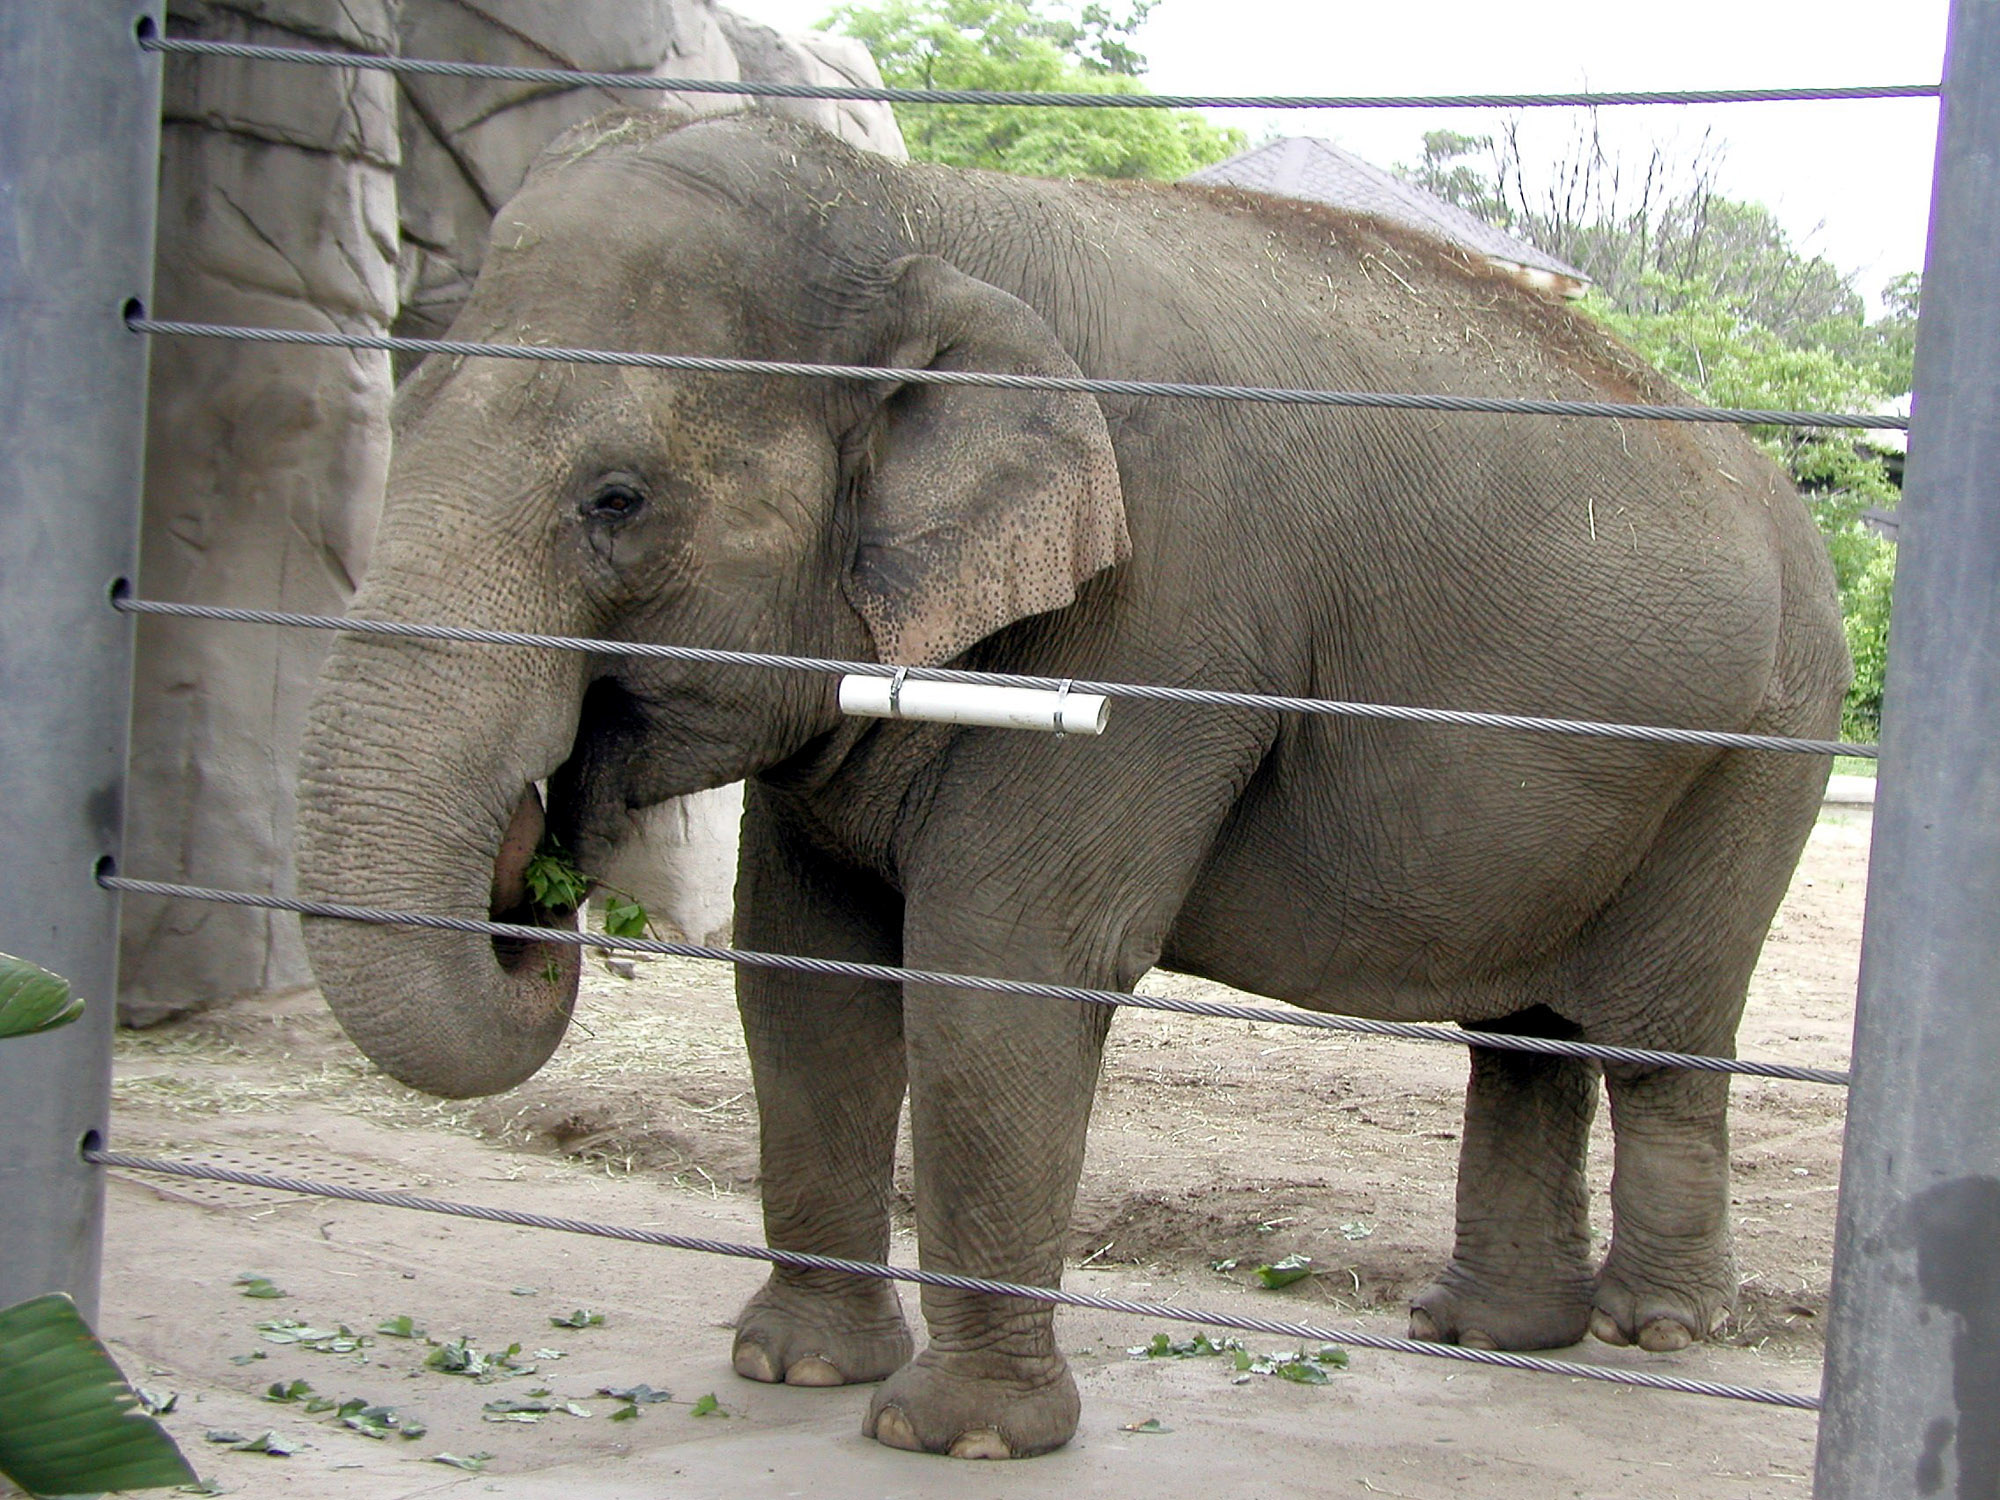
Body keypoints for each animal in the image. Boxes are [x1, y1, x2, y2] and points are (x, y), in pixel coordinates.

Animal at [293, 108, 1850, 1459]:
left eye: (615, 499)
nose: (539, 862)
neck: (917, 214)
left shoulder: (1157, 619)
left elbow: (1002, 962)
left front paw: (955, 1438)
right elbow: (802, 966)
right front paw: (794, 1369)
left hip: (1764, 752)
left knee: (1654, 1038)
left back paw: (1655, 1333)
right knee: (1524, 1043)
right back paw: (1485, 1333)